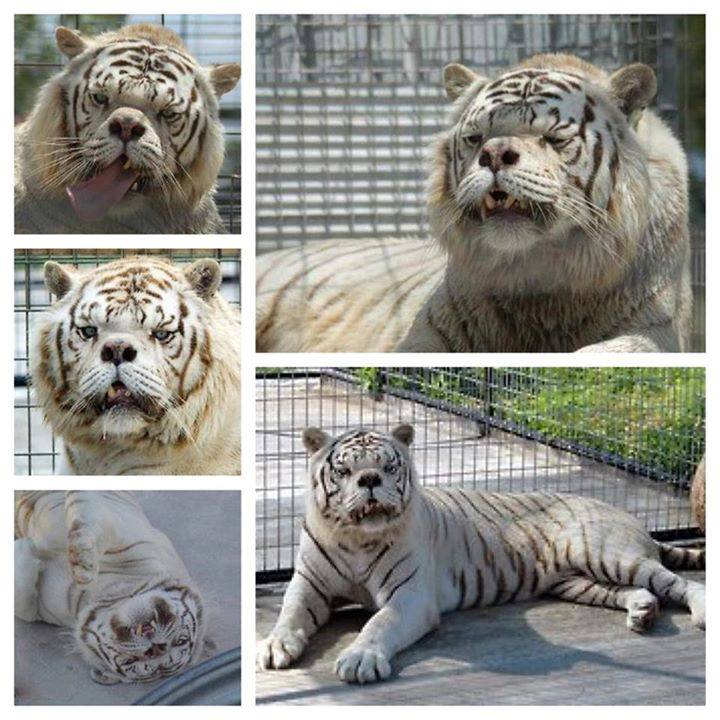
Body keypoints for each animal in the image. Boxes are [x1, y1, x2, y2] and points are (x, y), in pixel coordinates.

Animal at [15, 491, 206, 685]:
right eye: (181, 641)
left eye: (131, 661)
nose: (157, 648)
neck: (109, 588)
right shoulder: (121, 528)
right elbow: (89, 515)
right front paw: (83, 563)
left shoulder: (41, 608)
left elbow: (25, 605)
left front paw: (24, 547)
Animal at [256, 53, 691, 352]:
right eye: (475, 137)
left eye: (554, 138)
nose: (495, 154)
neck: (542, 285)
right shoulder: (428, 333)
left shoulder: (654, 329)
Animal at [256, 425, 705, 684]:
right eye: (346, 470)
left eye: (388, 467)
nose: (369, 480)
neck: (355, 538)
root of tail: (626, 514)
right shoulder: (309, 583)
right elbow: (289, 614)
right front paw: (274, 646)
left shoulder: (411, 596)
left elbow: (379, 624)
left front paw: (359, 659)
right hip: (579, 582)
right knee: (639, 591)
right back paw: (642, 612)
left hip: (607, 553)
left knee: (679, 584)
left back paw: (698, 611)